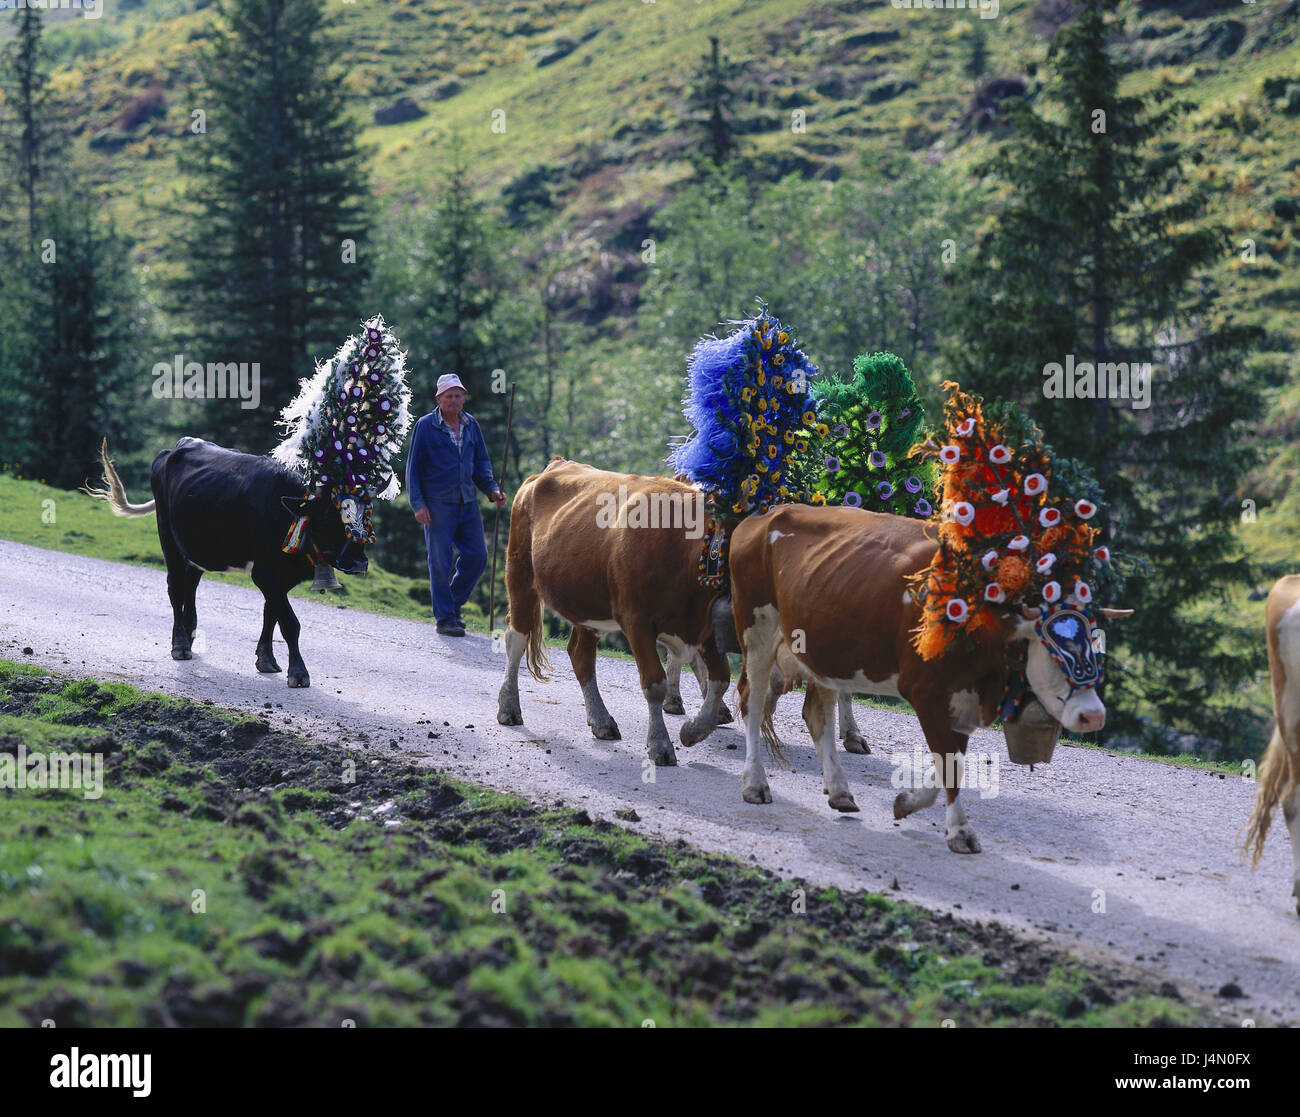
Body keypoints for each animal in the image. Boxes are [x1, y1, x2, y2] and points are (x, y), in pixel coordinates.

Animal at [86, 437, 368, 688]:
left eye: (366, 520)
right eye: (329, 520)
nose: (360, 563)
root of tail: (175, 448)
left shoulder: (280, 577)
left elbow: (271, 614)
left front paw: (265, 659)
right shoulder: (265, 573)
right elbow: (289, 623)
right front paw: (298, 673)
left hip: (196, 547)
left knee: (190, 584)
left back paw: (190, 633)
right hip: (167, 534)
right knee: (175, 588)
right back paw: (180, 644)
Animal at [496, 458, 732, 766]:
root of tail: (556, 465)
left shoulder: (705, 626)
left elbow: (721, 679)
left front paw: (694, 730)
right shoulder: (637, 621)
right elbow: (655, 682)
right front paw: (660, 745)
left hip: (585, 602)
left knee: (580, 654)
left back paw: (601, 720)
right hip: (520, 572)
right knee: (516, 638)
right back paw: (509, 707)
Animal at [729, 504, 1128, 852]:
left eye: (1097, 647)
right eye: (1053, 650)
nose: (1093, 715)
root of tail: (764, 516)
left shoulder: (962, 700)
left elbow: (950, 763)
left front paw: (907, 802)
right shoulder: (926, 691)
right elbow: (949, 765)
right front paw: (960, 831)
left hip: (822, 651)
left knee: (816, 713)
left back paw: (840, 790)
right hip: (757, 630)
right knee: (752, 700)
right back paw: (755, 782)